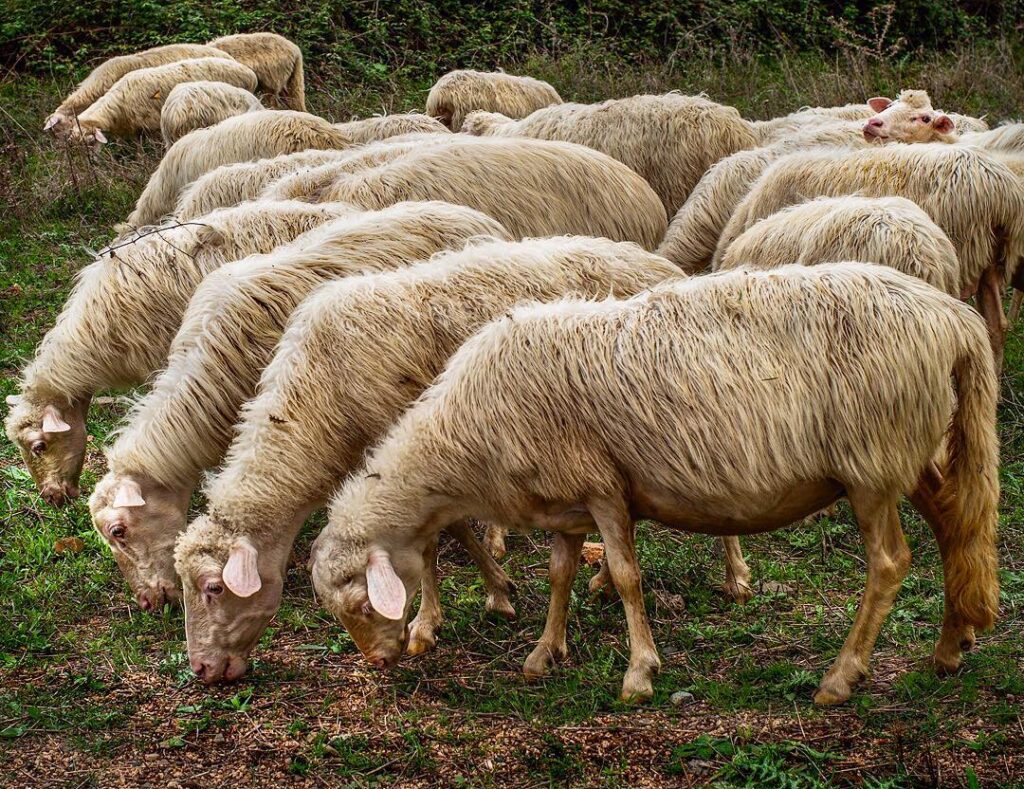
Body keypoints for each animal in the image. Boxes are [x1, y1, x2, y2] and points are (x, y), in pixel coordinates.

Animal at [172, 235, 747, 683]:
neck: (319, 397)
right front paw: (480, 596)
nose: (200, 670)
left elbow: (436, 542)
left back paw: (735, 574)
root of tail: (652, 260)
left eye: (212, 589)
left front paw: (454, 611)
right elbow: (446, 533)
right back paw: (605, 576)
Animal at [309, 262, 999, 706]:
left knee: (890, 562)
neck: (463, 438)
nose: (378, 662)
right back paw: (950, 645)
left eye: (359, 600)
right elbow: (559, 575)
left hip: (871, 463)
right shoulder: (565, 501)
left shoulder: (603, 490)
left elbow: (624, 577)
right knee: (955, 527)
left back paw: (841, 677)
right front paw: (544, 653)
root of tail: (955, 319)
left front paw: (639, 674)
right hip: (913, 453)